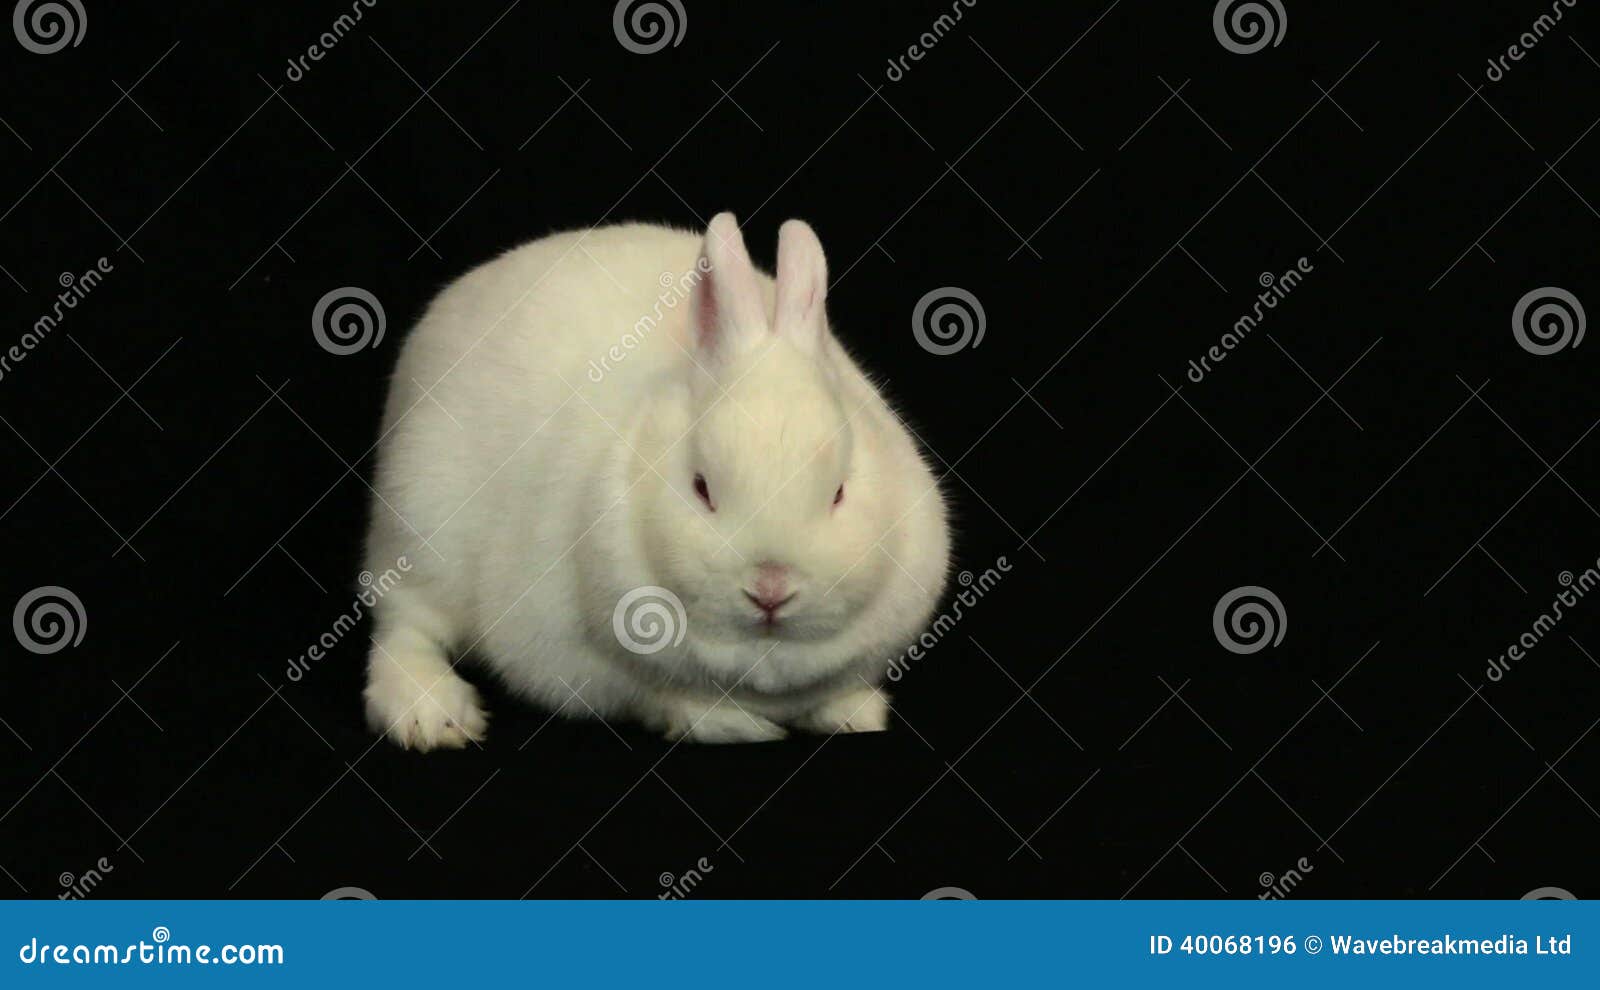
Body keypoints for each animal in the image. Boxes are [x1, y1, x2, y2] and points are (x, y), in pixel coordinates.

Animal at [360, 212, 951, 749]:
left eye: (839, 492)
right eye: (701, 487)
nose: (770, 588)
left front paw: (855, 714)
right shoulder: (576, 659)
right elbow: (664, 699)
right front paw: (739, 726)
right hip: (419, 529)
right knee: (404, 627)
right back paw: (433, 716)